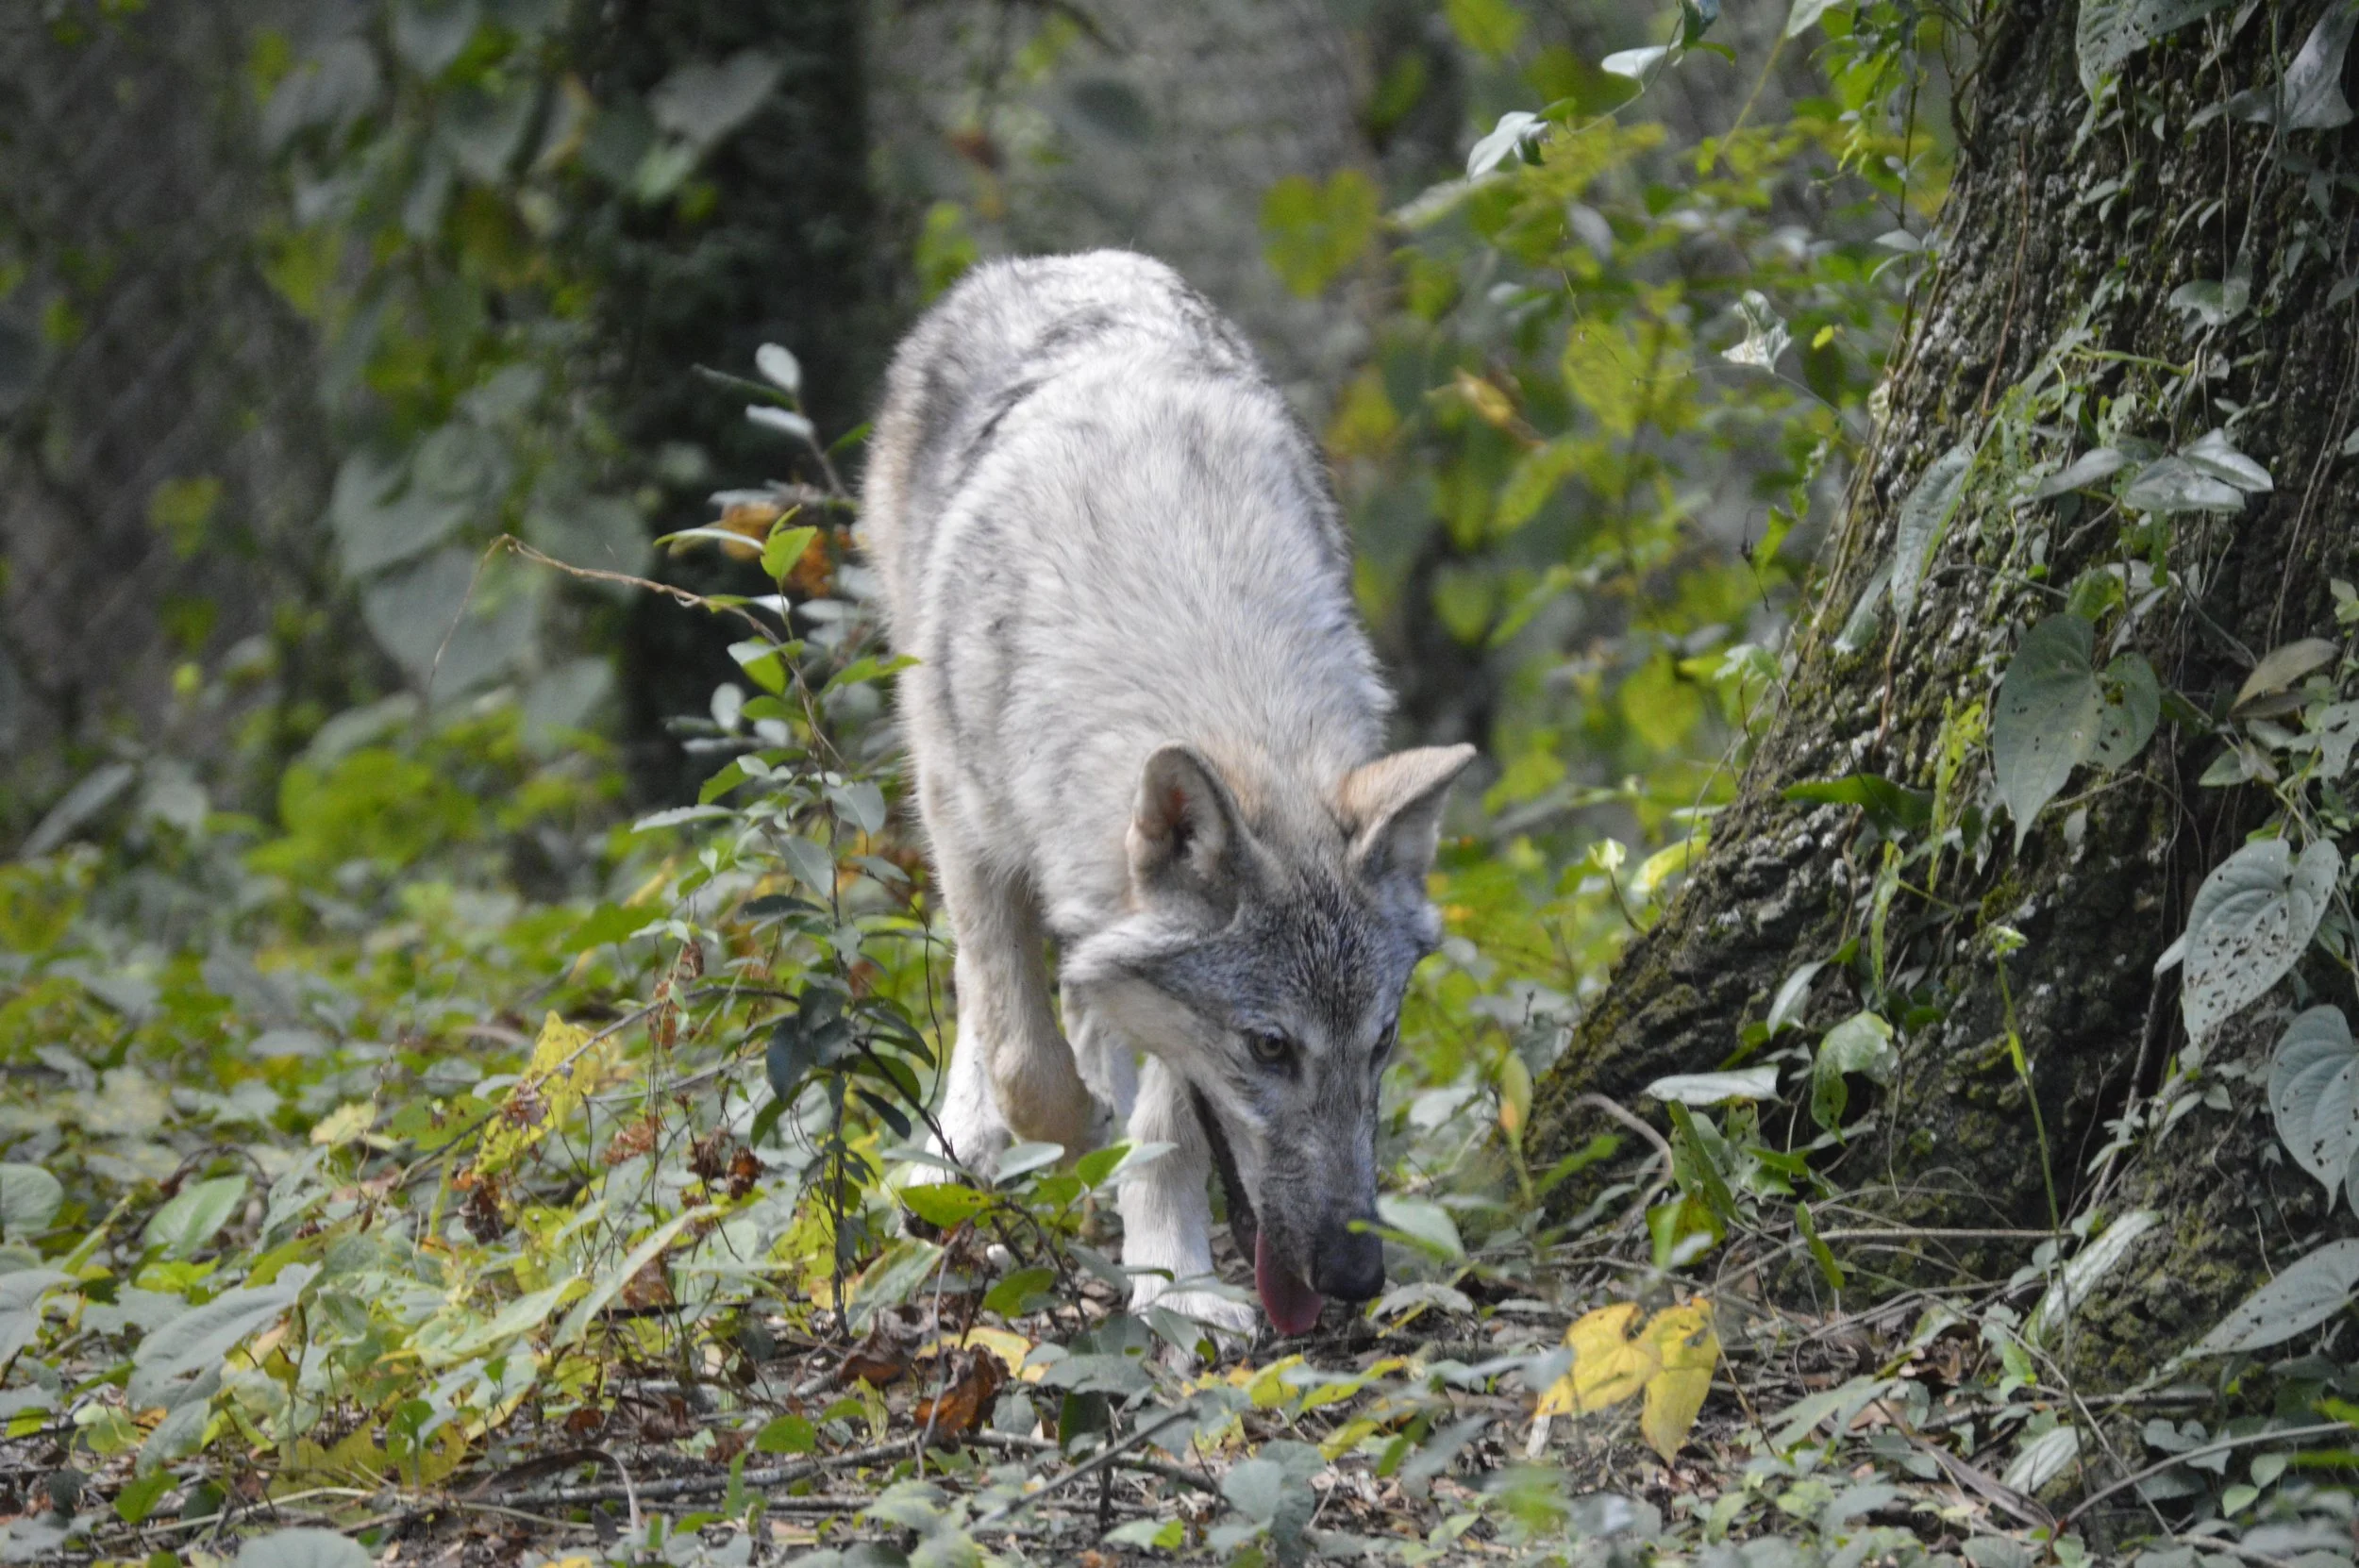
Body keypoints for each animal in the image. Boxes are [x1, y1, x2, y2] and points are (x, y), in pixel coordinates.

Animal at [860, 250, 1474, 1338]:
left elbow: (1170, 1129)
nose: (1355, 1276)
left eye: (1383, 1042)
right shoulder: (967, 828)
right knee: (989, 1000)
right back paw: (964, 1147)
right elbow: (1026, 1062)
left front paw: (1176, 1281)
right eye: (1270, 1048)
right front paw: (1065, 1153)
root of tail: (1053, 261)